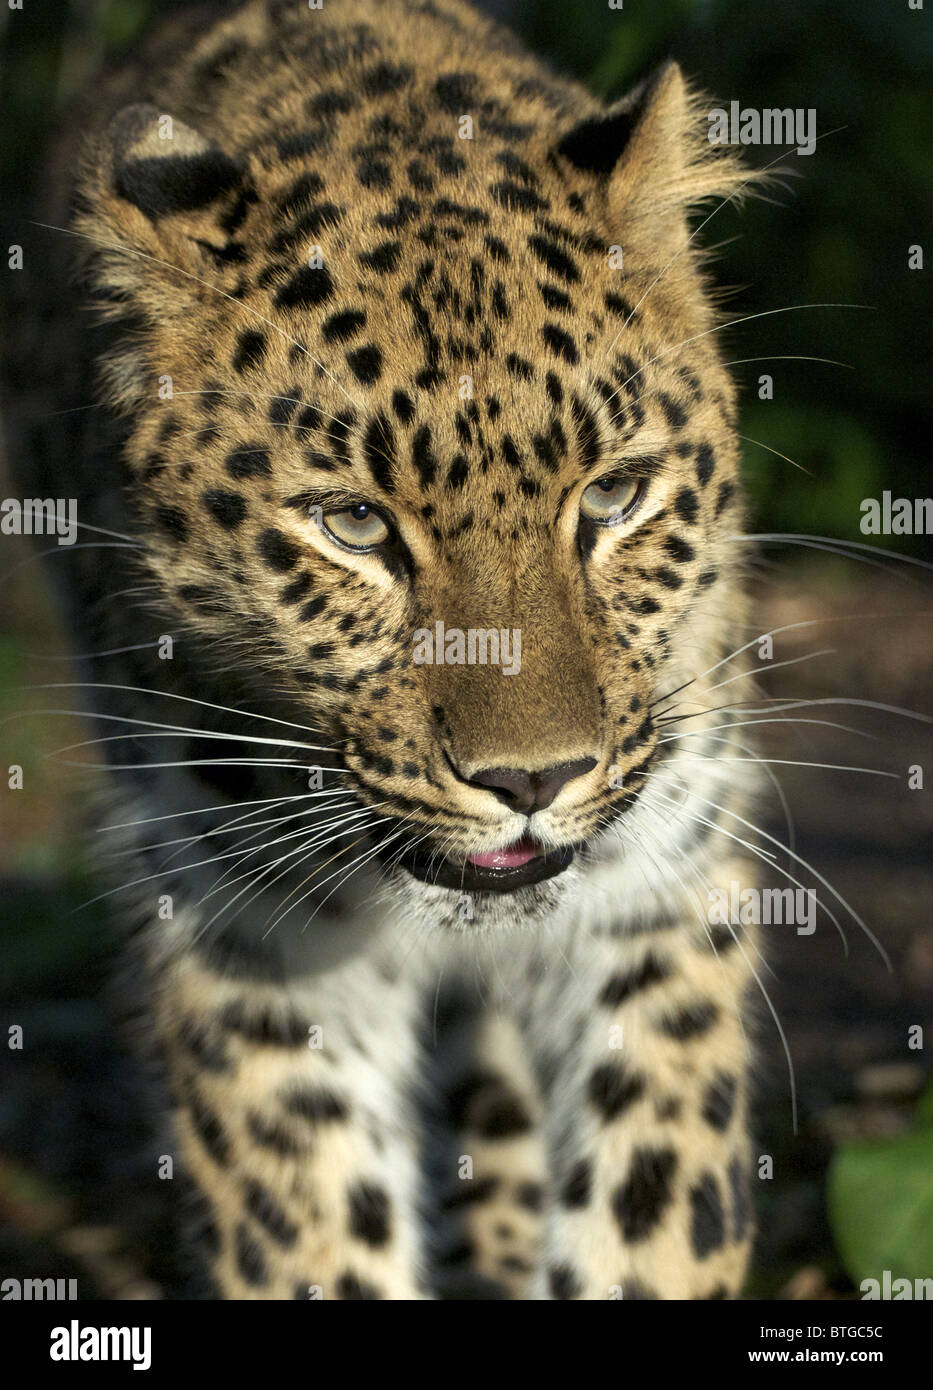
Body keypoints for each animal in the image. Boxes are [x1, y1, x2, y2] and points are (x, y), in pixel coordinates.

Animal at [2, 0, 769, 1299]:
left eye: (613, 497)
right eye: (353, 524)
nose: (532, 781)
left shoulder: (656, 891)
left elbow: (656, 1203)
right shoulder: (248, 937)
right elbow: (311, 1223)